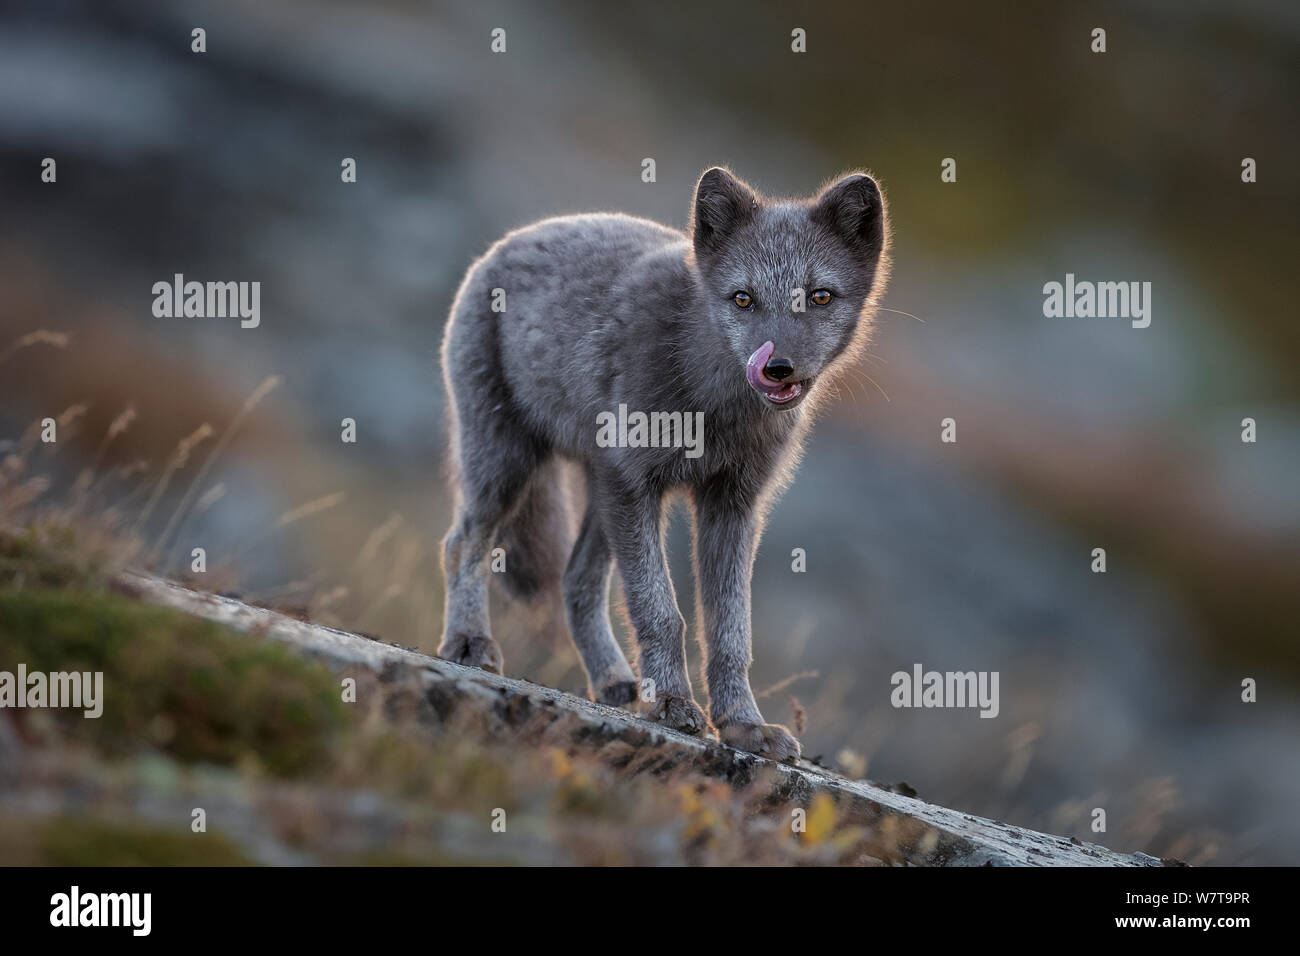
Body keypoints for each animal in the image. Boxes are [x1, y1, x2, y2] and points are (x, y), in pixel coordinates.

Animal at [438, 167, 889, 762]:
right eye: (743, 299)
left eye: (820, 297)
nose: (778, 368)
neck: (711, 405)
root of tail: (507, 242)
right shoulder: (635, 482)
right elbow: (660, 610)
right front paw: (675, 703)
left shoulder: (734, 504)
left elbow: (729, 632)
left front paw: (742, 725)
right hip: (507, 462)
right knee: (463, 542)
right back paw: (470, 643)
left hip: (599, 495)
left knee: (576, 582)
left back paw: (616, 682)